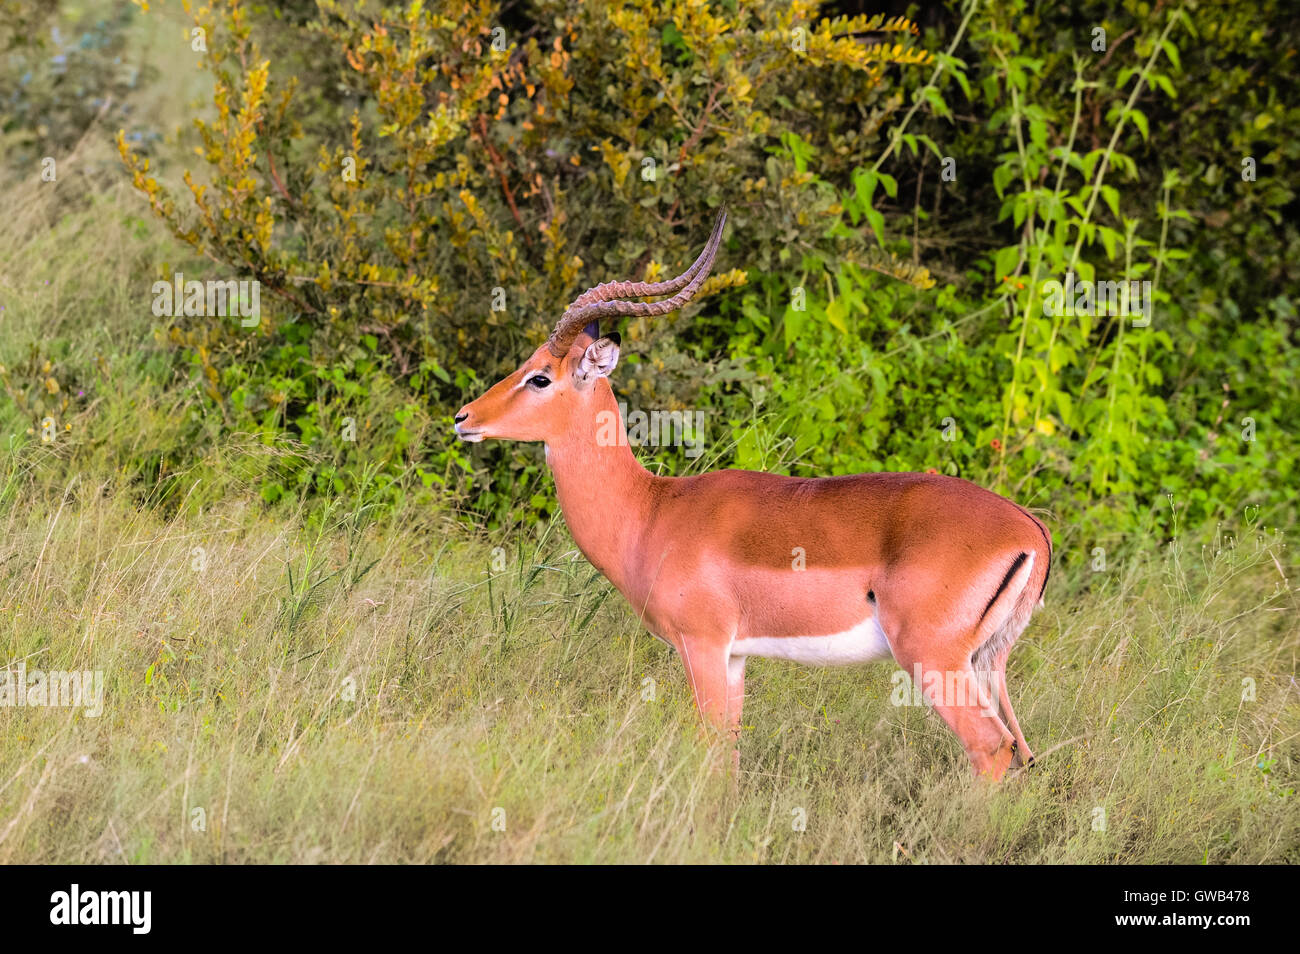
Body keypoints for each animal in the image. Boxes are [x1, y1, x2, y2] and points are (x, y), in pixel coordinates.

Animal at [454, 210, 1051, 780]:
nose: (464, 417)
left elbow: (712, 750)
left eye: (540, 377)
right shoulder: (736, 657)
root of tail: (1031, 531)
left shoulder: (702, 645)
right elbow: (732, 756)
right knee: (1020, 750)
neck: (650, 512)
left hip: (931, 658)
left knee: (991, 747)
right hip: (984, 663)